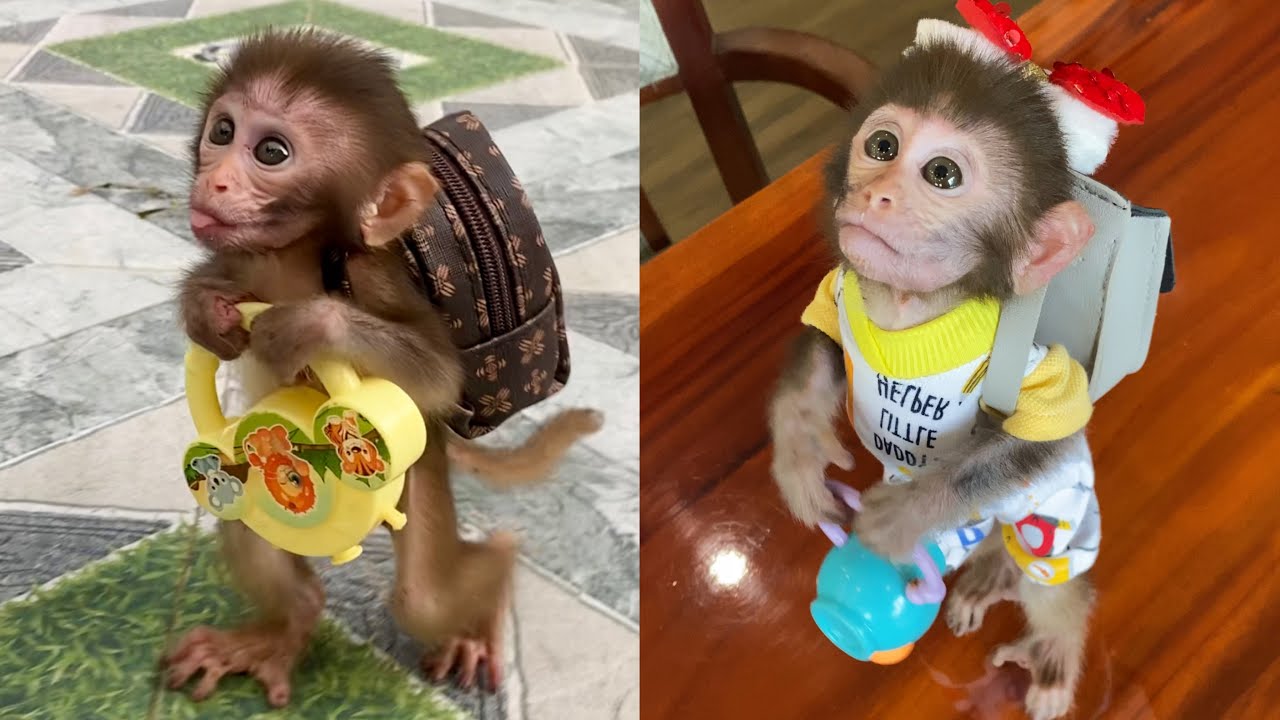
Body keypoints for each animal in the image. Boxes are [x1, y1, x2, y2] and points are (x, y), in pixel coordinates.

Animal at [164, 28, 602, 705]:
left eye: (270, 152)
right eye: (222, 131)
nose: (216, 183)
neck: (291, 260)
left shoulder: (373, 275)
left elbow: (439, 376)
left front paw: (309, 325)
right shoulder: (241, 257)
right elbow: (213, 285)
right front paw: (204, 311)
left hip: (419, 470)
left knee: (426, 598)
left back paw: (489, 593)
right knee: (246, 517)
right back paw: (283, 632)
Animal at [768, 21, 1106, 720]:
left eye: (941, 174)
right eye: (882, 145)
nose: (876, 194)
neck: (908, 314)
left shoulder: (1033, 379)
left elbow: (1040, 433)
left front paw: (904, 515)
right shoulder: (837, 294)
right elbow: (819, 345)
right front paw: (800, 452)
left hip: (1058, 505)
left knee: (1051, 575)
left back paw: (1052, 657)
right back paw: (988, 575)